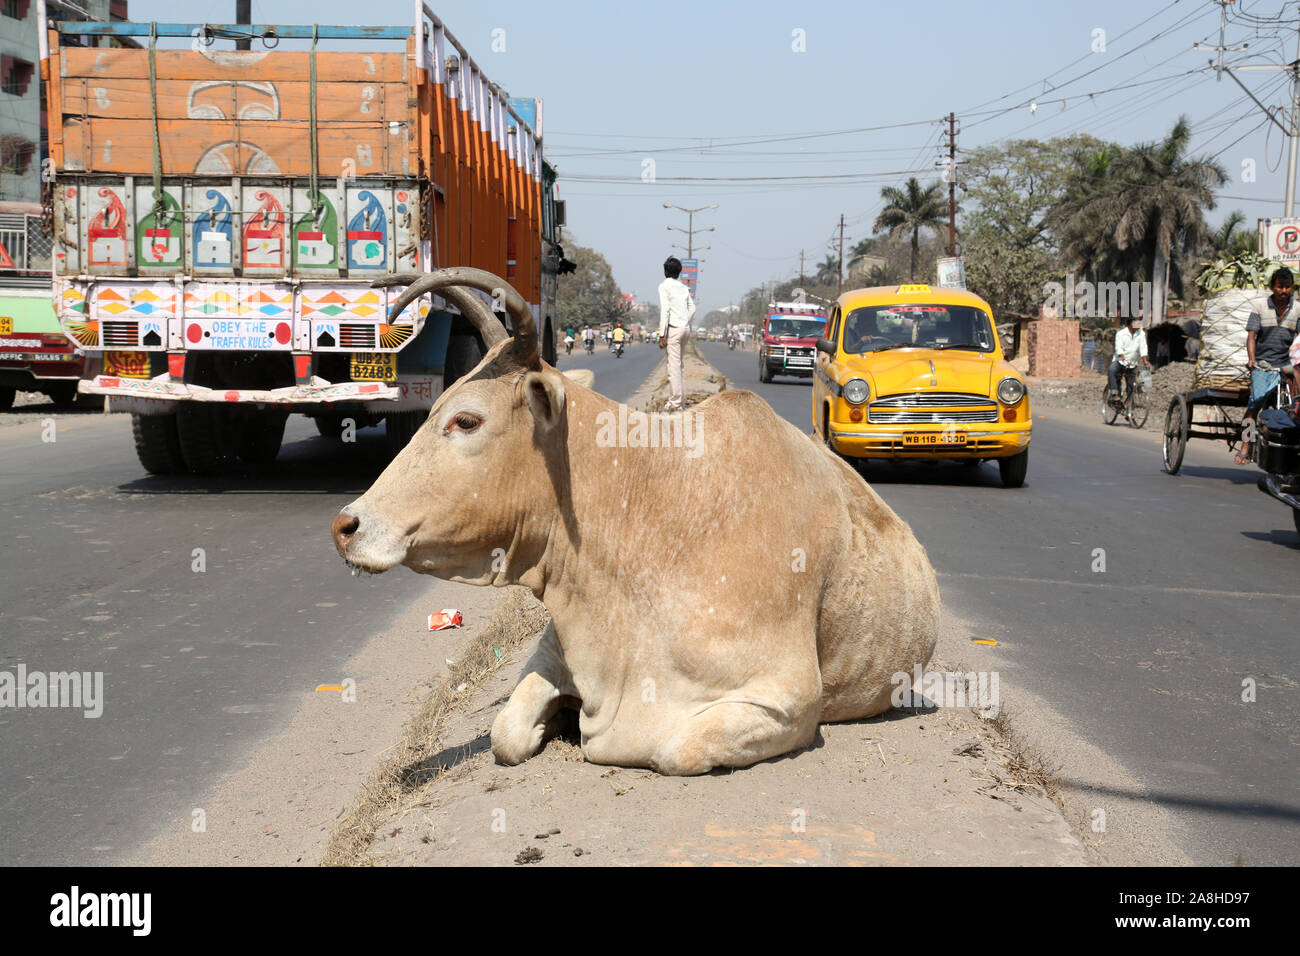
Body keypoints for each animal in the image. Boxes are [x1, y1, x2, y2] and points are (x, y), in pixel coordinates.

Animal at [332, 268, 939, 776]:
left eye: (466, 420)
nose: (346, 526)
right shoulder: (553, 648)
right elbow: (506, 732)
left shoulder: (787, 699)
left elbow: (674, 749)